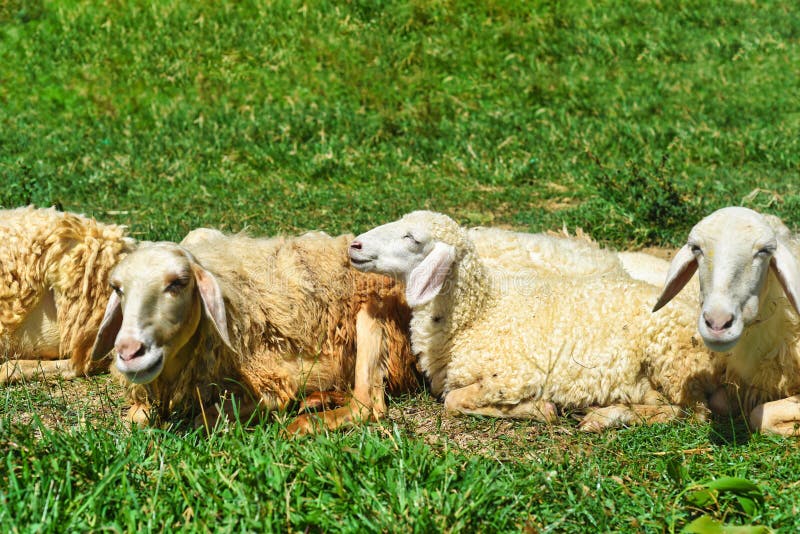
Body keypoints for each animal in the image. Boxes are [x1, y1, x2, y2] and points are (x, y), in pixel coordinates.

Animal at [90, 229, 418, 432]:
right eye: (117, 288)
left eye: (178, 283)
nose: (129, 352)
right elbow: (134, 419)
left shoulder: (273, 381)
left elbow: (205, 418)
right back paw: (318, 399)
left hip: (372, 309)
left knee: (368, 404)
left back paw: (303, 425)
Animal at [349, 210, 724, 431]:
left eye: (413, 238)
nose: (355, 245)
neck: (478, 313)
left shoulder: (513, 377)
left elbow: (454, 401)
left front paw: (539, 409)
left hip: (674, 365)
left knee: (690, 413)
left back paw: (602, 418)